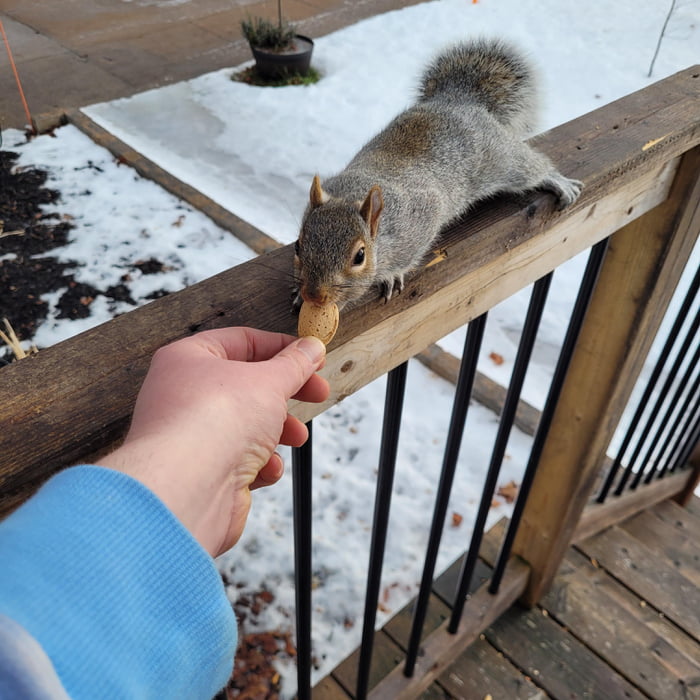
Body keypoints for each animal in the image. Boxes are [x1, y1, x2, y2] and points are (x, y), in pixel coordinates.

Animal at [293, 38, 583, 311]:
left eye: (359, 257)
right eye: (298, 245)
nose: (314, 296)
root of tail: (459, 100)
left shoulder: (423, 215)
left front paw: (391, 275)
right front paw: (298, 294)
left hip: (504, 158)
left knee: (532, 166)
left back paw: (558, 181)